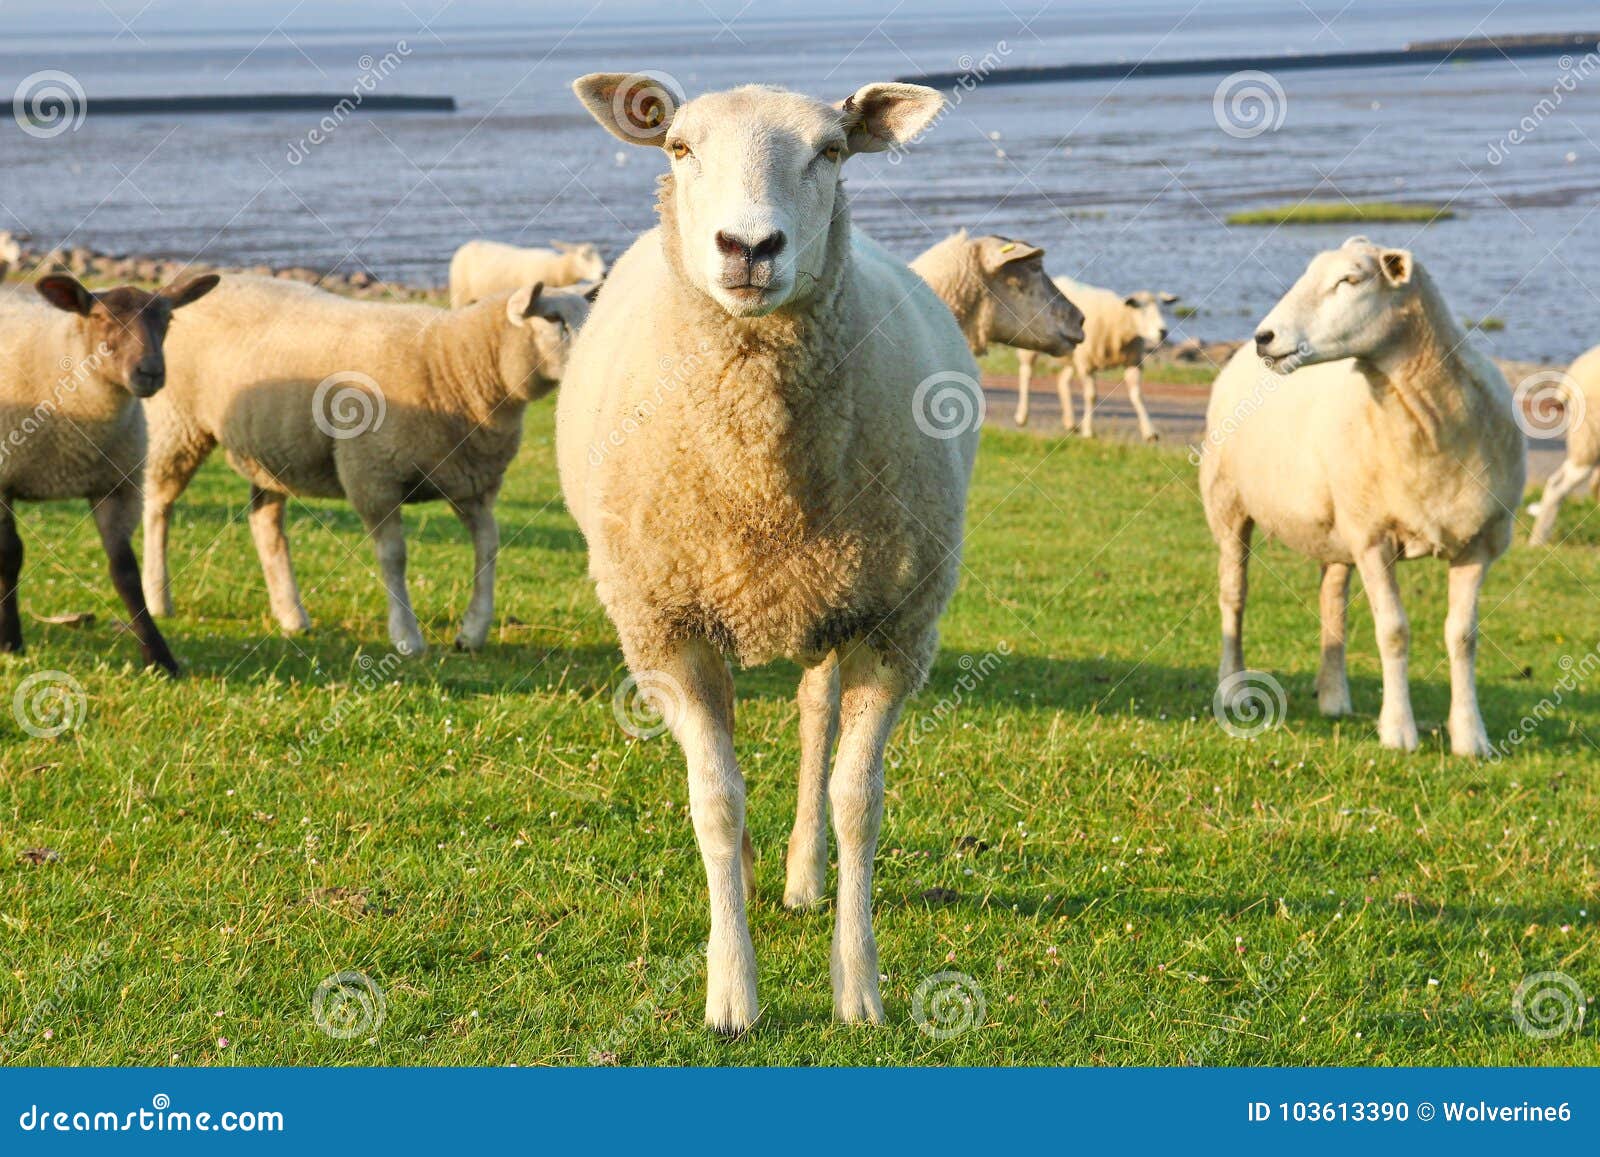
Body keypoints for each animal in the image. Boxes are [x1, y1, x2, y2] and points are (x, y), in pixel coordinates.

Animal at [0, 272, 219, 674]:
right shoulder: (4, 478)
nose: (150, 371)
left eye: (168, 319)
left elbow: (125, 571)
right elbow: (10, 556)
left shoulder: (115, 488)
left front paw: (159, 657)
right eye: (101, 317)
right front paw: (10, 640)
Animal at [142, 274, 591, 656]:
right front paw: (407, 637)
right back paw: (158, 597)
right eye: (553, 320)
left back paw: (291, 615)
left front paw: (473, 631)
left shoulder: (472, 485)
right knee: (158, 507)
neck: (452, 362)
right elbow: (394, 557)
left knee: (265, 525)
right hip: (177, 424)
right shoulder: (373, 477)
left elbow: (489, 548)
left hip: (270, 450)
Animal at [559, 73, 973, 1033]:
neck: (762, 478)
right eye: (679, 146)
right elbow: (713, 799)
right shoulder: (666, 628)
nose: (749, 246)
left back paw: (800, 876)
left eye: (831, 150)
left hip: (834, 597)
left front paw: (859, 987)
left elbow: (859, 801)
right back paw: (747, 878)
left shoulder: (898, 626)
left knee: (816, 717)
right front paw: (731, 991)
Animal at [1013, 278, 1177, 439]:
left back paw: (1070, 423)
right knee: (1026, 373)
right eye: (1140, 309)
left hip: (1072, 356)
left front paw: (1149, 432)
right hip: (1031, 341)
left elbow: (1137, 395)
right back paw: (1022, 416)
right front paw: (1088, 431)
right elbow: (1091, 396)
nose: (1163, 331)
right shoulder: (1086, 364)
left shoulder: (1133, 362)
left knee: (1062, 381)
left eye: (1163, 310)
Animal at [1200, 237, 1525, 757]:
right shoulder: (1374, 538)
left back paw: (1334, 696)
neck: (1429, 424)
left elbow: (1463, 636)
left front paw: (1471, 737)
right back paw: (1232, 688)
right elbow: (1393, 631)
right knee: (1234, 595)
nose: (1265, 336)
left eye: (1349, 280)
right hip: (1227, 502)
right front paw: (1398, 731)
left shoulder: (1480, 542)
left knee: (1332, 598)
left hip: (1337, 522)